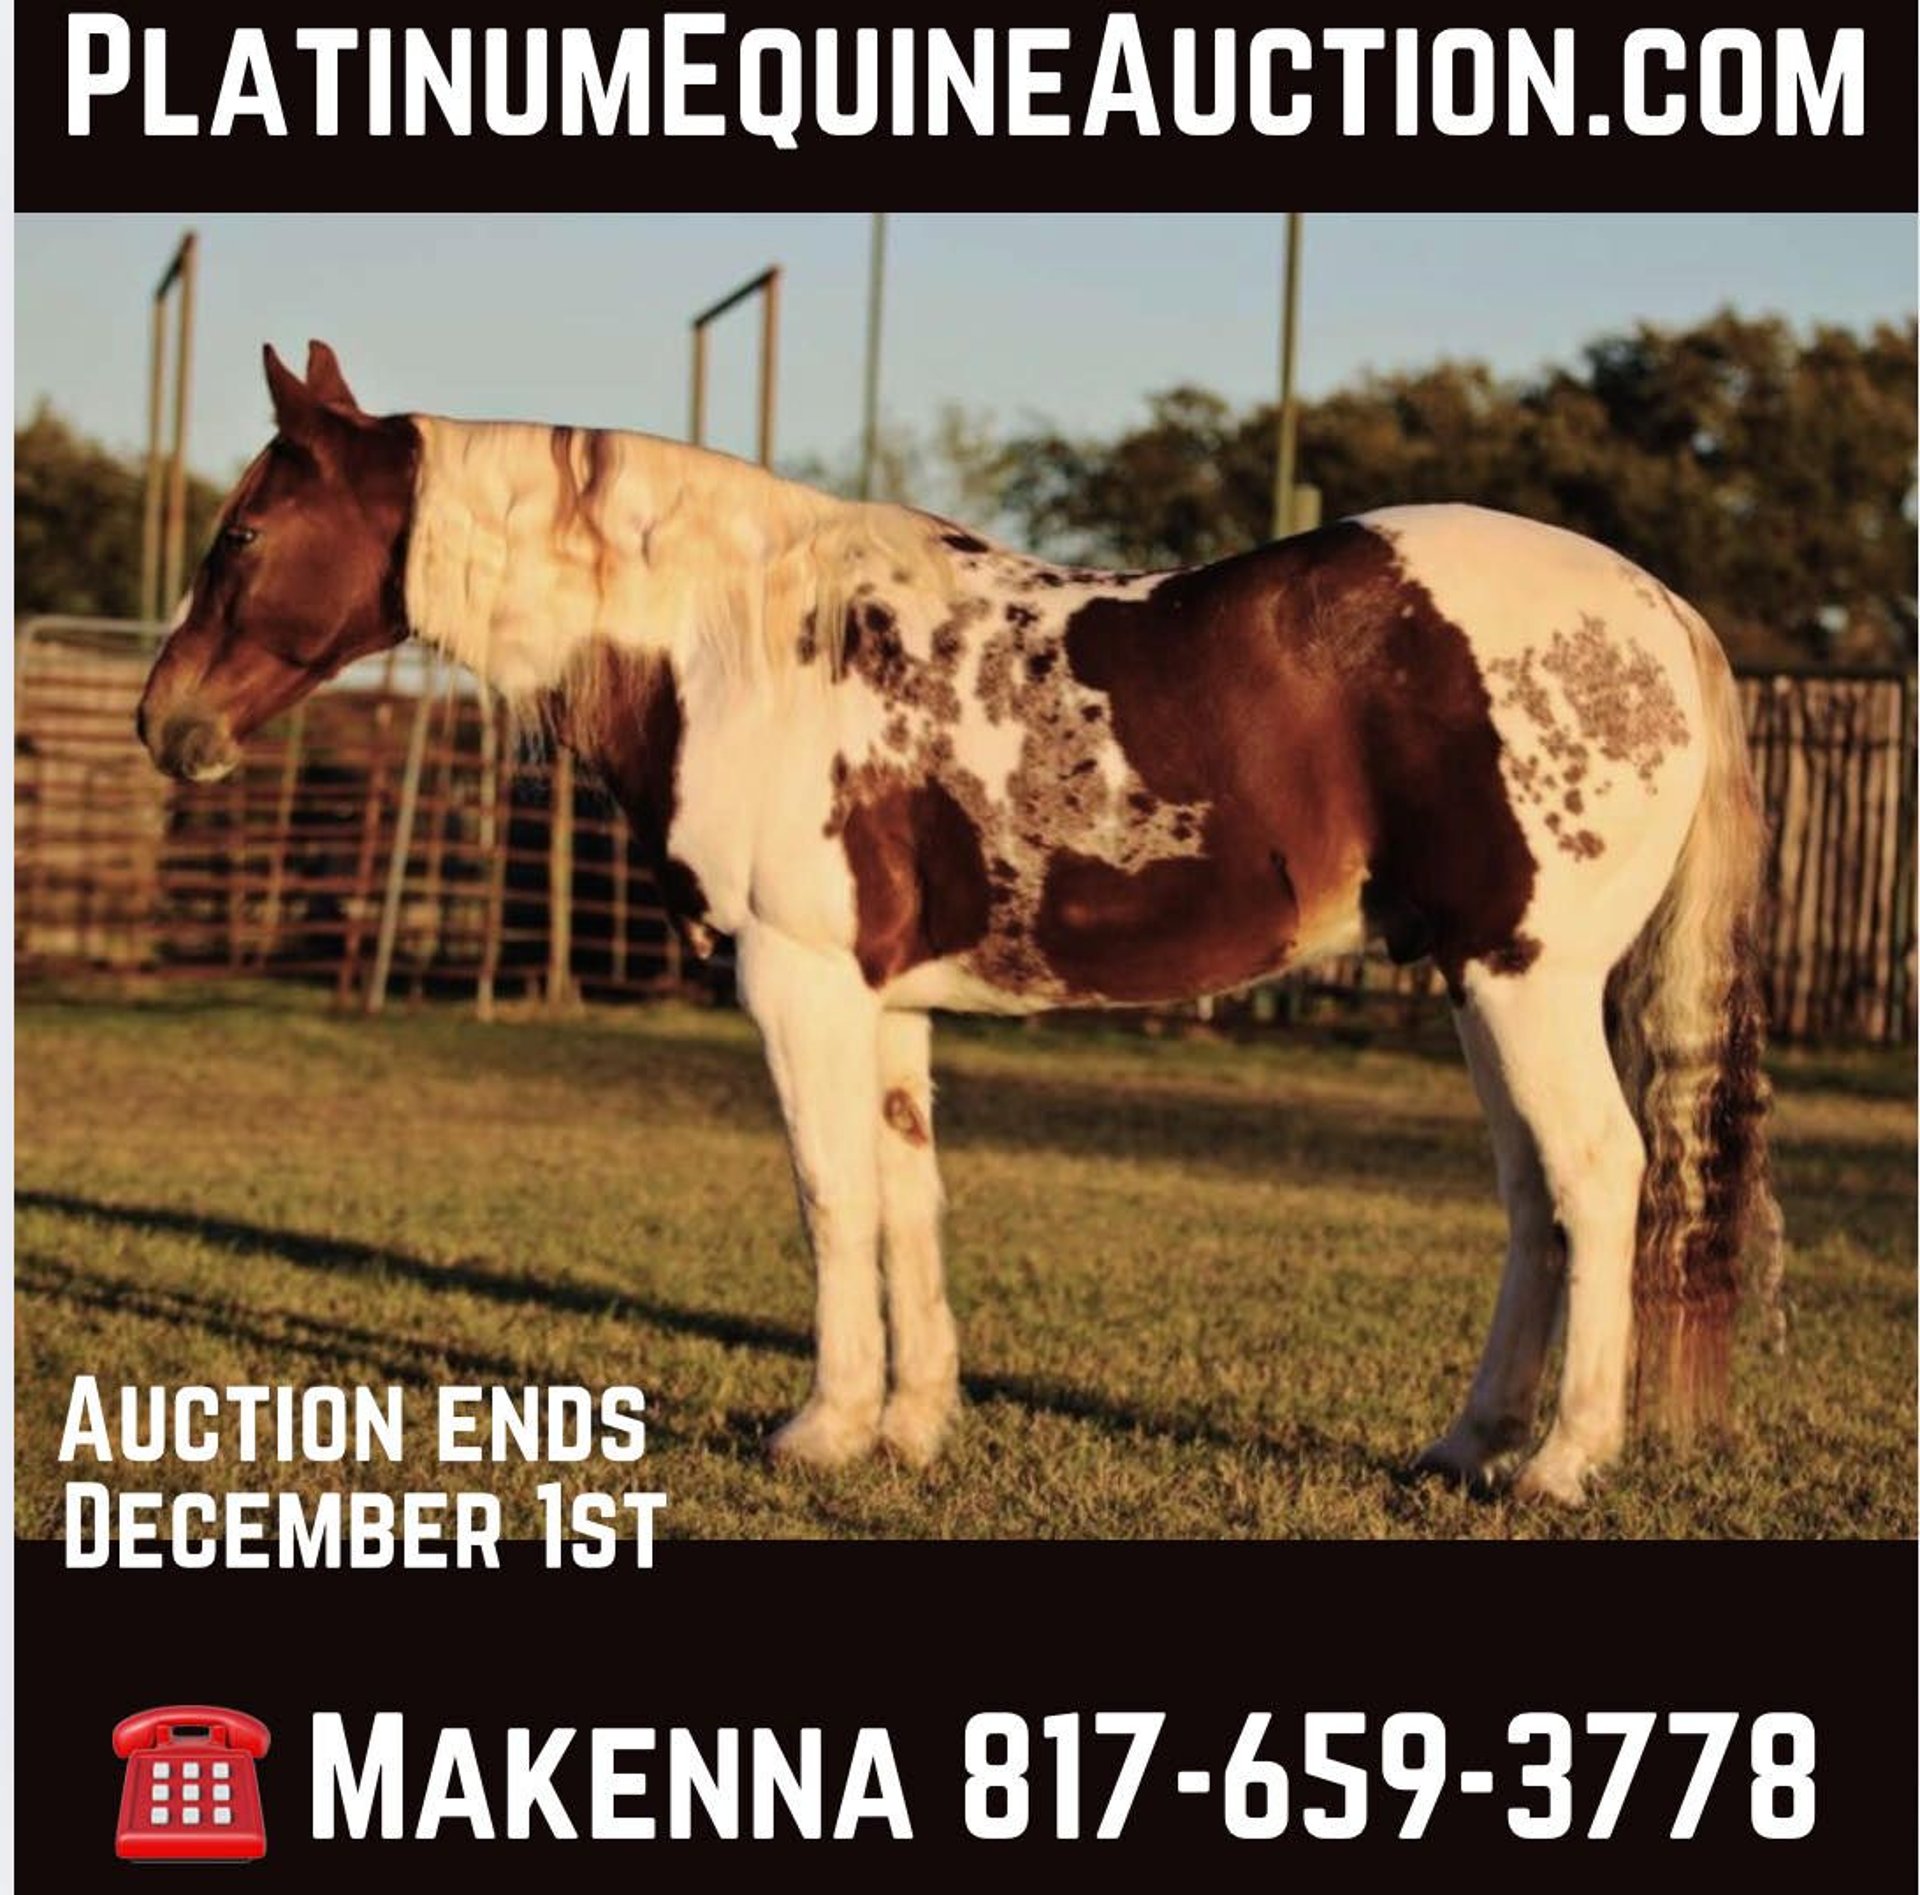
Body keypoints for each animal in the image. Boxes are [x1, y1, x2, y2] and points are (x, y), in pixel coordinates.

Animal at [137, 341, 1782, 1505]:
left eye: (247, 530)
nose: (167, 722)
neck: (737, 644)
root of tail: (1659, 609)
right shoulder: (888, 1001)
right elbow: (908, 1195)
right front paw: (916, 1424)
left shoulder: (798, 982)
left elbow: (830, 1196)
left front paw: (822, 1425)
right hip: (1476, 980)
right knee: (1532, 1197)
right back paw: (1470, 1445)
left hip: (1528, 979)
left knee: (1597, 1174)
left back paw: (1562, 1461)